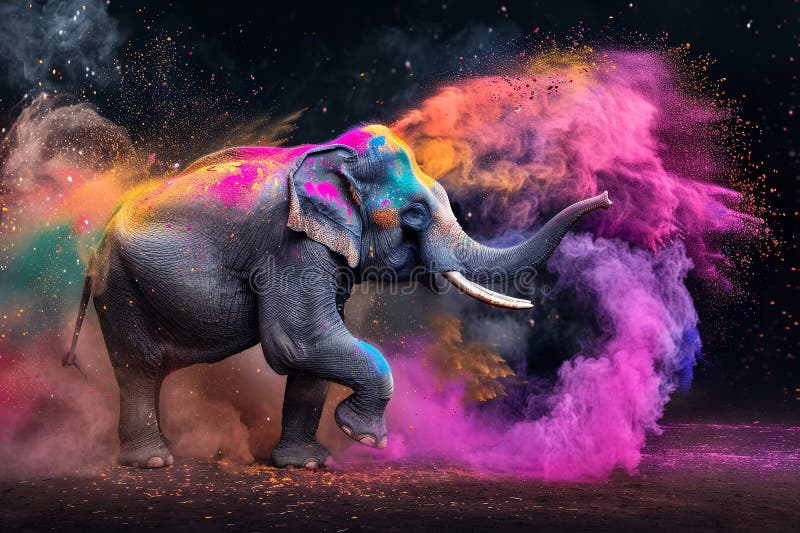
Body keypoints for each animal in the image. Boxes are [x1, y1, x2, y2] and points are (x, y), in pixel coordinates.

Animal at [63, 124, 611, 469]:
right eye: (414, 214)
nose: (606, 197)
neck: (332, 156)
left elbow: (313, 356)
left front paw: (307, 465)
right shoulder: (293, 245)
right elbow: (299, 342)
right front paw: (362, 436)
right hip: (122, 289)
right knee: (138, 368)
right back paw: (152, 462)